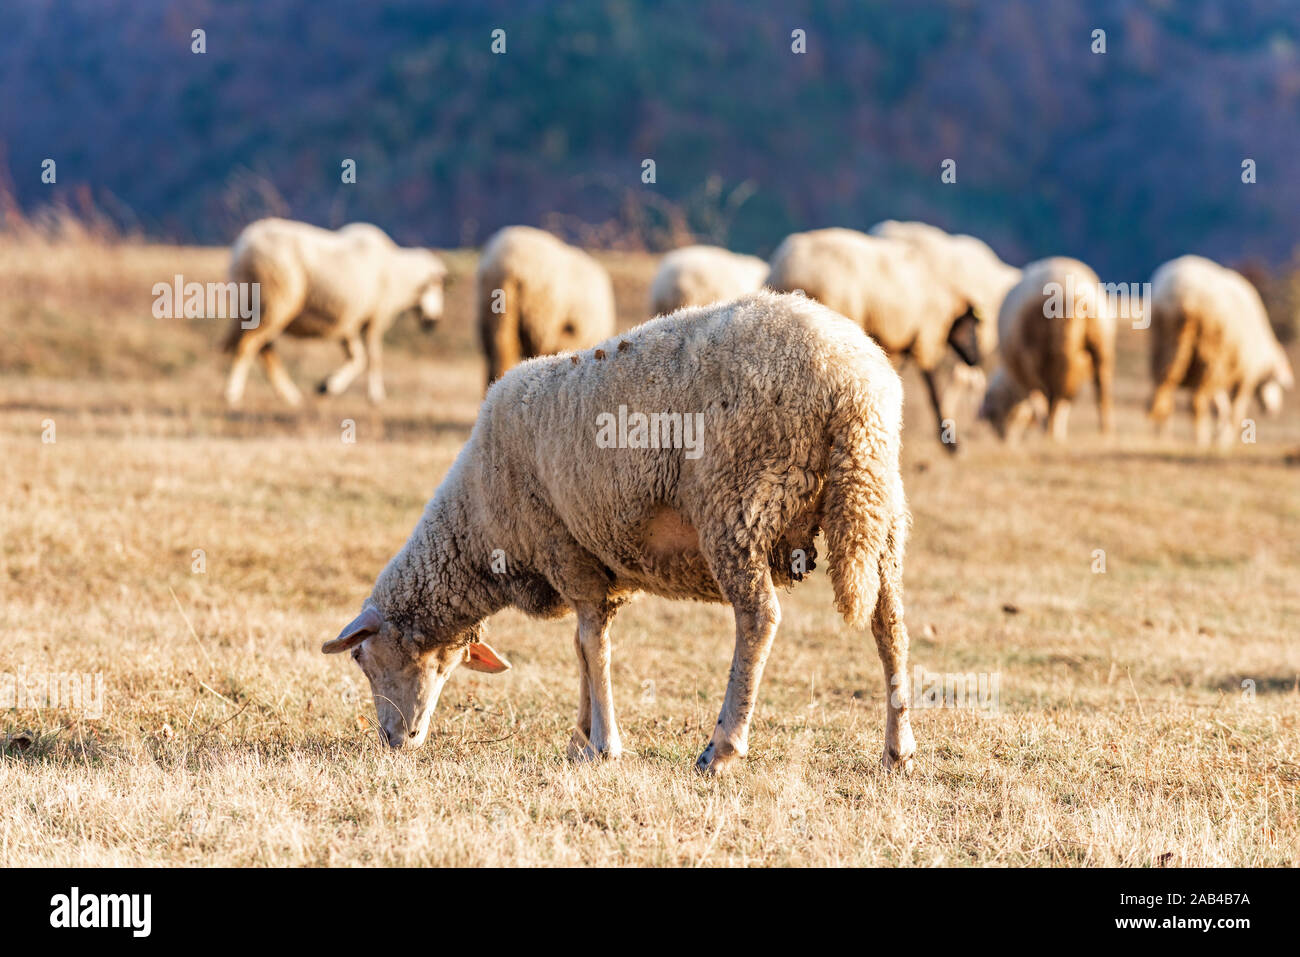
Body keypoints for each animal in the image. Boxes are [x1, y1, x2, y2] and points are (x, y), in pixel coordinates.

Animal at [222, 219, 446, 406]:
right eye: (437, 287)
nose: (434, 321)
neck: (399, 273)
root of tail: (243, 246)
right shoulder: (375, 319)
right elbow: (373, 358)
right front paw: (375, 396)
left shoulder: (347, 324)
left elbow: (357, 359)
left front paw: (327, 386)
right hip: (275, 303)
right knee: (248, 346)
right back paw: (233, 394)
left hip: (261, 308)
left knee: (264, 349)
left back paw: (290, 395)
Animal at [322, 290, 916, 775]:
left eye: (361, 659)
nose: (400, 741)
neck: (478, 523)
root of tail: (855, 386)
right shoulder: (591, 562)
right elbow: (583, 646)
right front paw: (581, 738)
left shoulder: (564, 547)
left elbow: (592, 646)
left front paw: (604, 744)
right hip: (880, 504)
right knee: (889, 624)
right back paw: (898, 749)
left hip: (741, 502)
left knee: (759, 620)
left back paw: (722, 747)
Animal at [766, 227, 982, 451]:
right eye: (972, 326)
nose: (975, 359)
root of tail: (785, 267)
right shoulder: (925, 337)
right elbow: (934, 392)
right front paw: (950, 443)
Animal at [978, 257, 1116, 443]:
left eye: (993, 416)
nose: (1004, 440)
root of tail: (1070, 291)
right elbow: (1064, 402)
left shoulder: (1026, 373)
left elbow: (1042, 400)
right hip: (1099, 345)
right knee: (1101, 389)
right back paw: (1105, 432)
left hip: (1037, 350)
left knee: (1048, 396)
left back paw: (1049, 430)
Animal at [1148, 255, 1295, 446]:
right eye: (1275, 380)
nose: (1273, 410)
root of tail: (1182, 294)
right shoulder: (1244, 378)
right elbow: (1235, 411)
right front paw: (1225, 440)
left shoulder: (1222, 373)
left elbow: (1221, 408)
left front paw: (1218, 436)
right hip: (1208, 355)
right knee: (1196, 402)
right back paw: (1200, 441)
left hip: (1164, 346)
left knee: (1163, 392)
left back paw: (1162, 437)